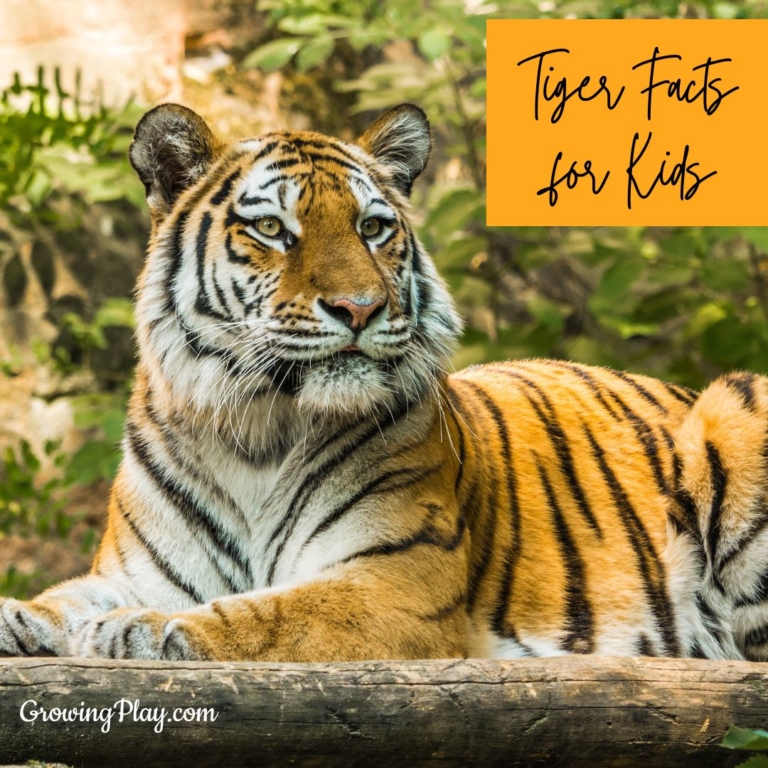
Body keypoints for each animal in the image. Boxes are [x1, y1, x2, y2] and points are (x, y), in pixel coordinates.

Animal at [1, 102, 767, 663]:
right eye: (272, 228)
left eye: (372, 227)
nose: (360, 308)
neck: (256, 429)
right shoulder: (132, 572)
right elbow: (67, 597)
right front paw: (22, 617)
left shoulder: (396, 579)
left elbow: (272, 612)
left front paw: (147, 629)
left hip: (735, 405)